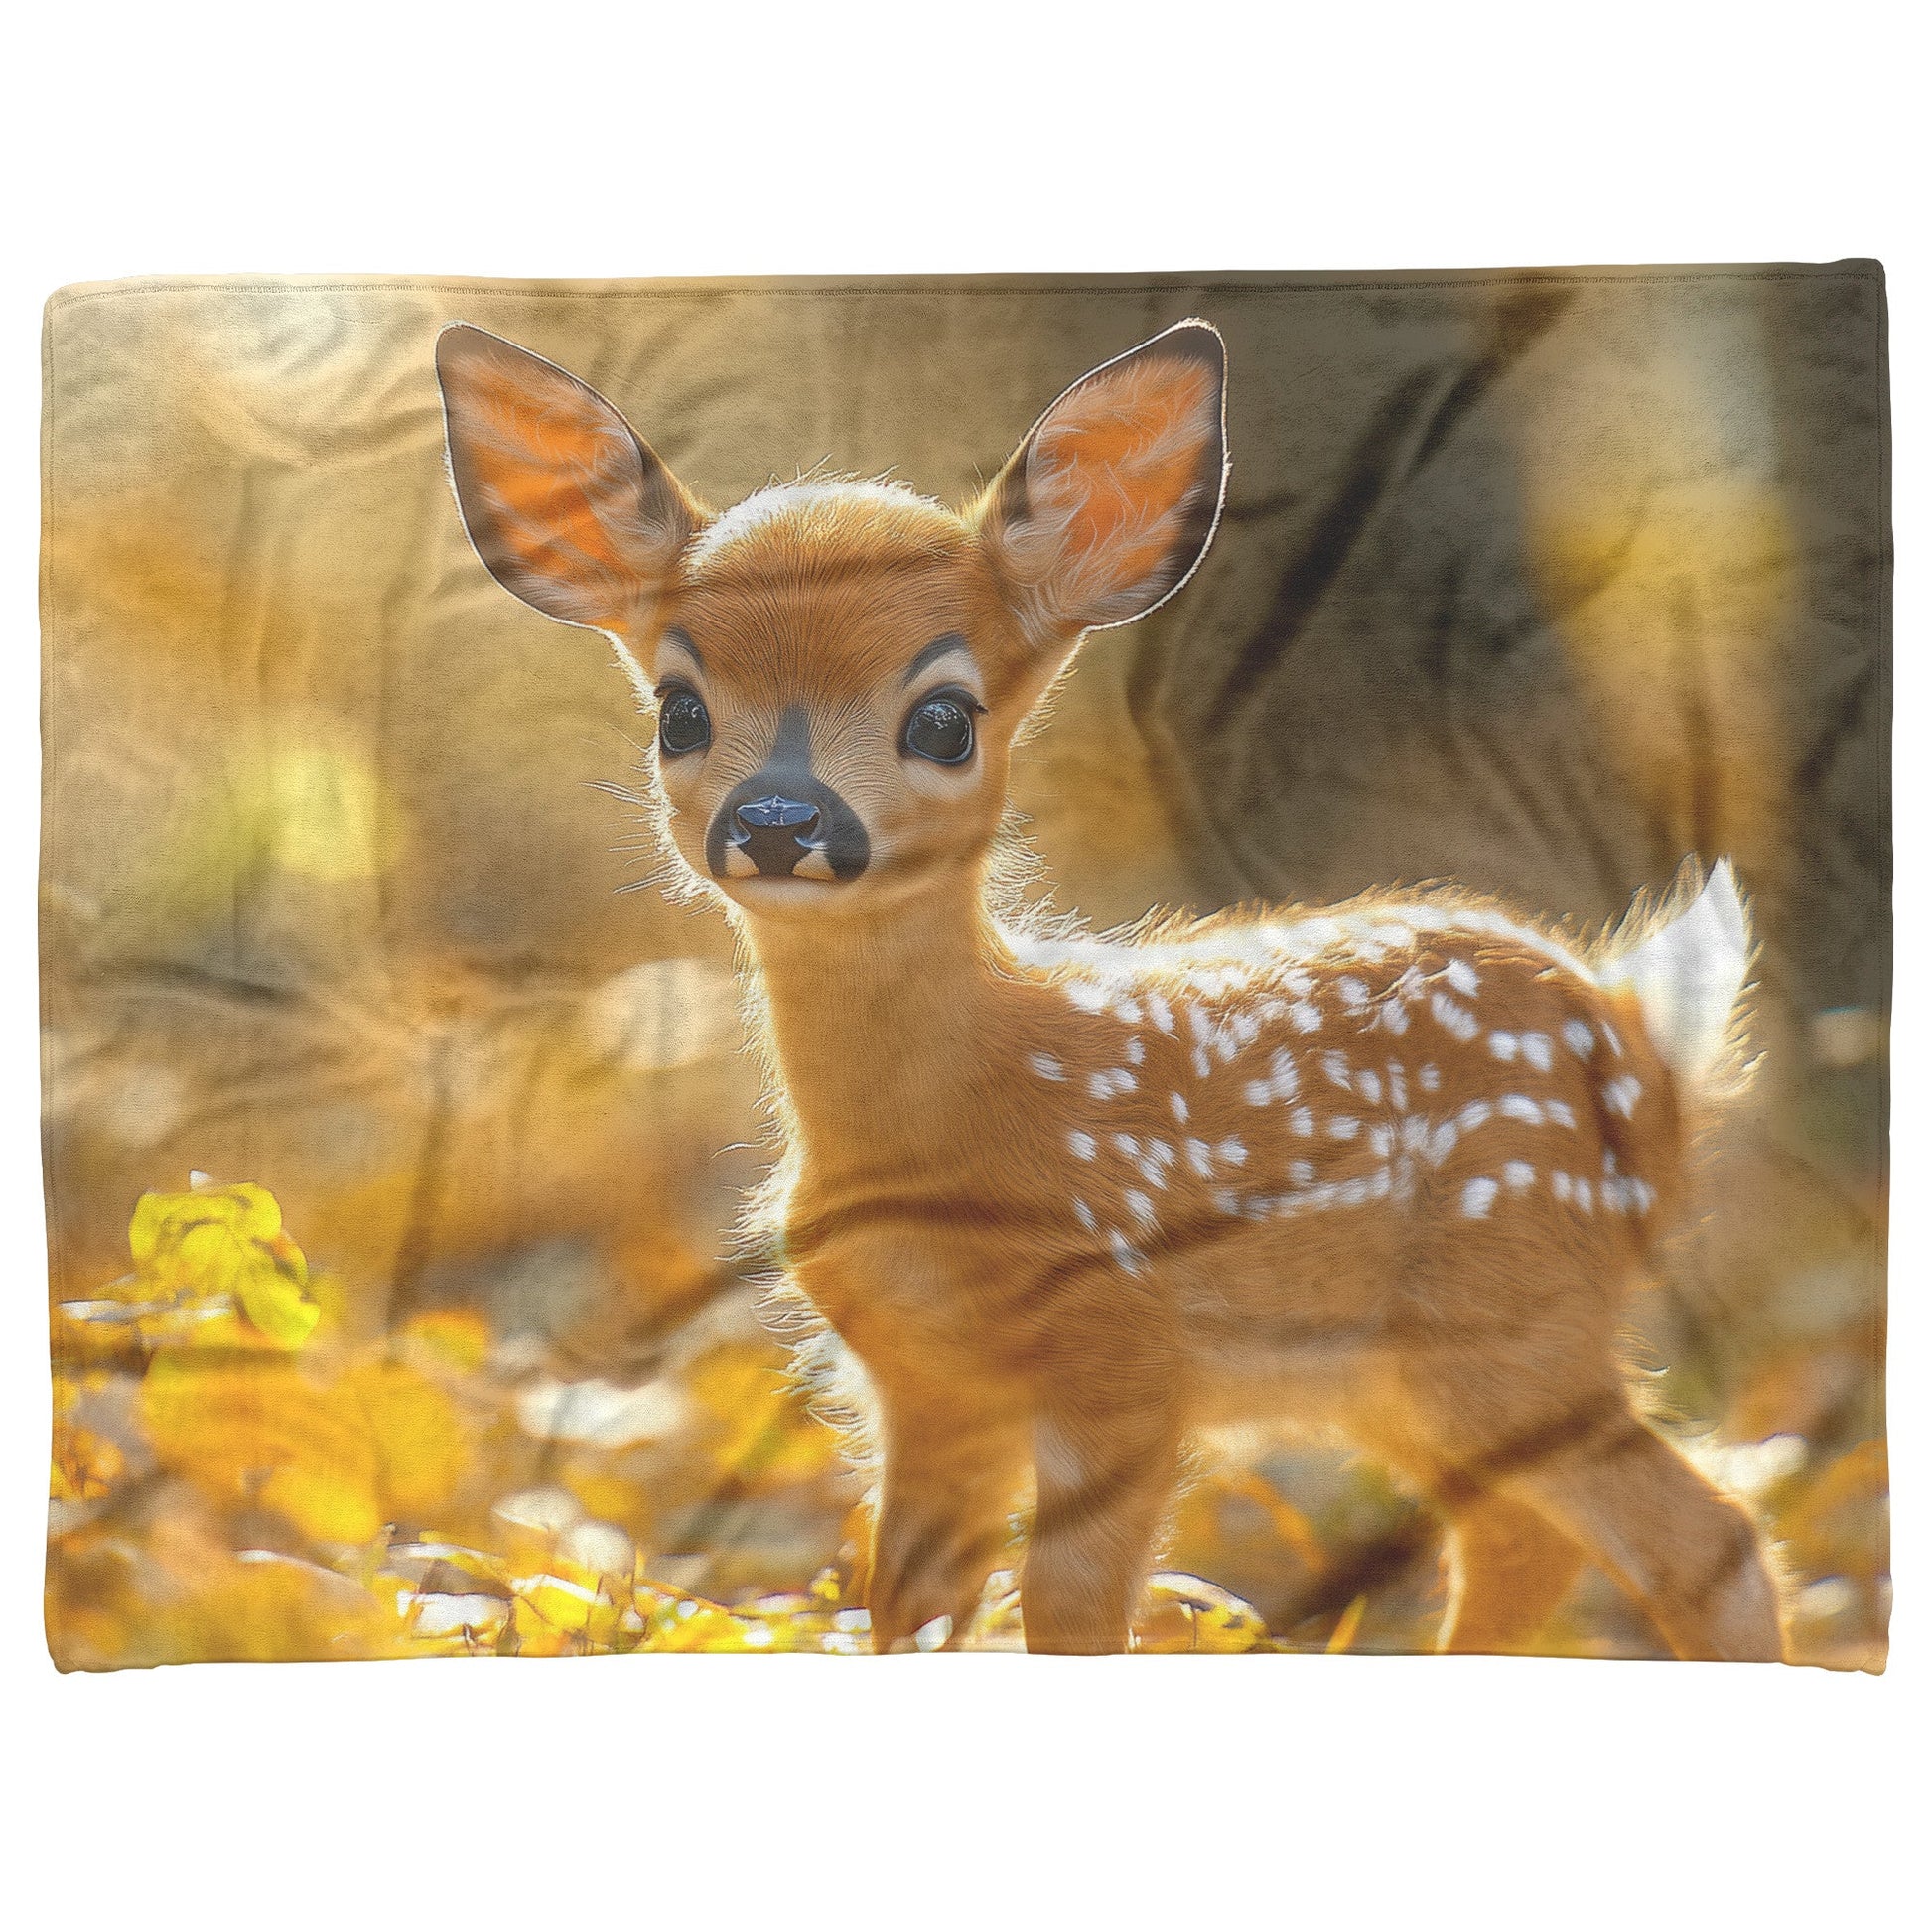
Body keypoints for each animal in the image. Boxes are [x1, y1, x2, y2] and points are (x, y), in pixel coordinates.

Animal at [435, 316, 1785, 1660]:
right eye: (679, 709)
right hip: (1405, 1365)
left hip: (1507, 1306)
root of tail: (1634, 1024)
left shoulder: (1122, 1342)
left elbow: (1072, 1607)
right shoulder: (926, 1382)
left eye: (943, 718)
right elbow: (905, 1606)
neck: (953, 1120)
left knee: (1703, 1534)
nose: (777, 820)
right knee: (1518, 1539)